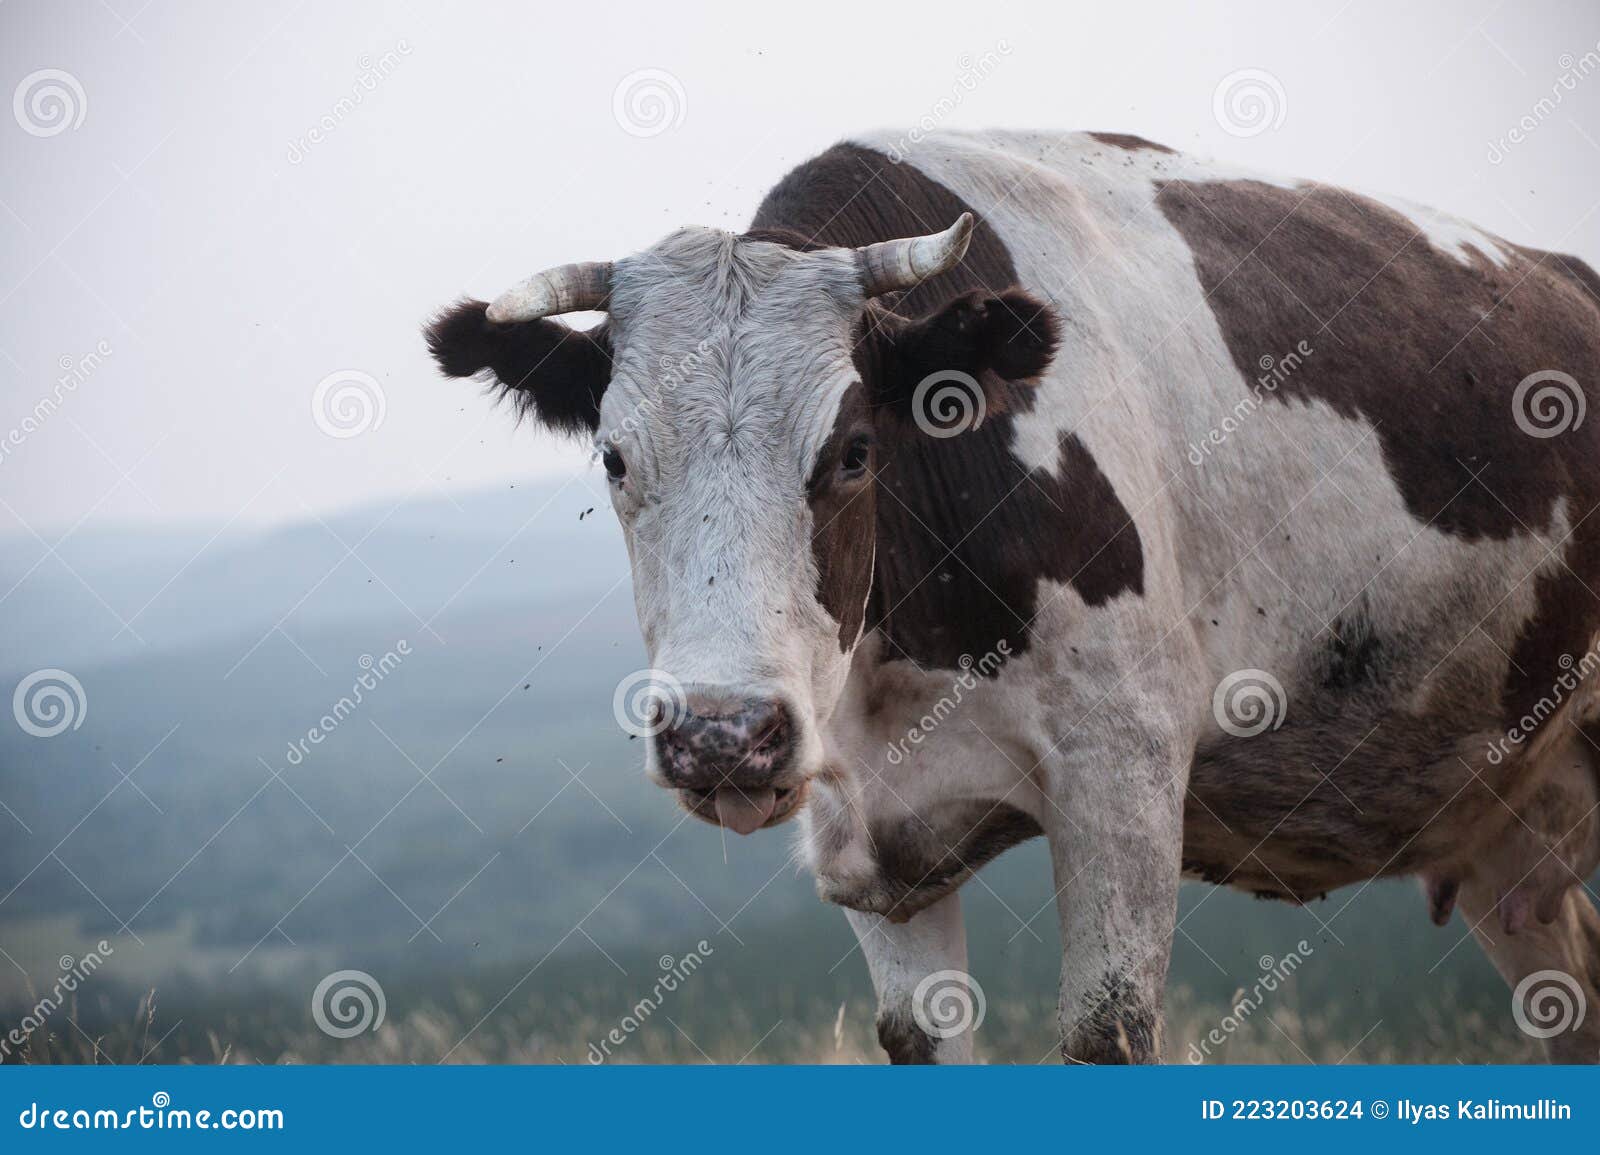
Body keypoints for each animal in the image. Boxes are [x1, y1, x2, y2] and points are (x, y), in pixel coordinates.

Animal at [426, 129, 1600, 1064]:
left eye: (853, 452)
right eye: (615, 458)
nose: (722, 736)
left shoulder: (1122, 775)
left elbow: (1105, 1034)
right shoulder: (873, 852)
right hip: (1504, 824)